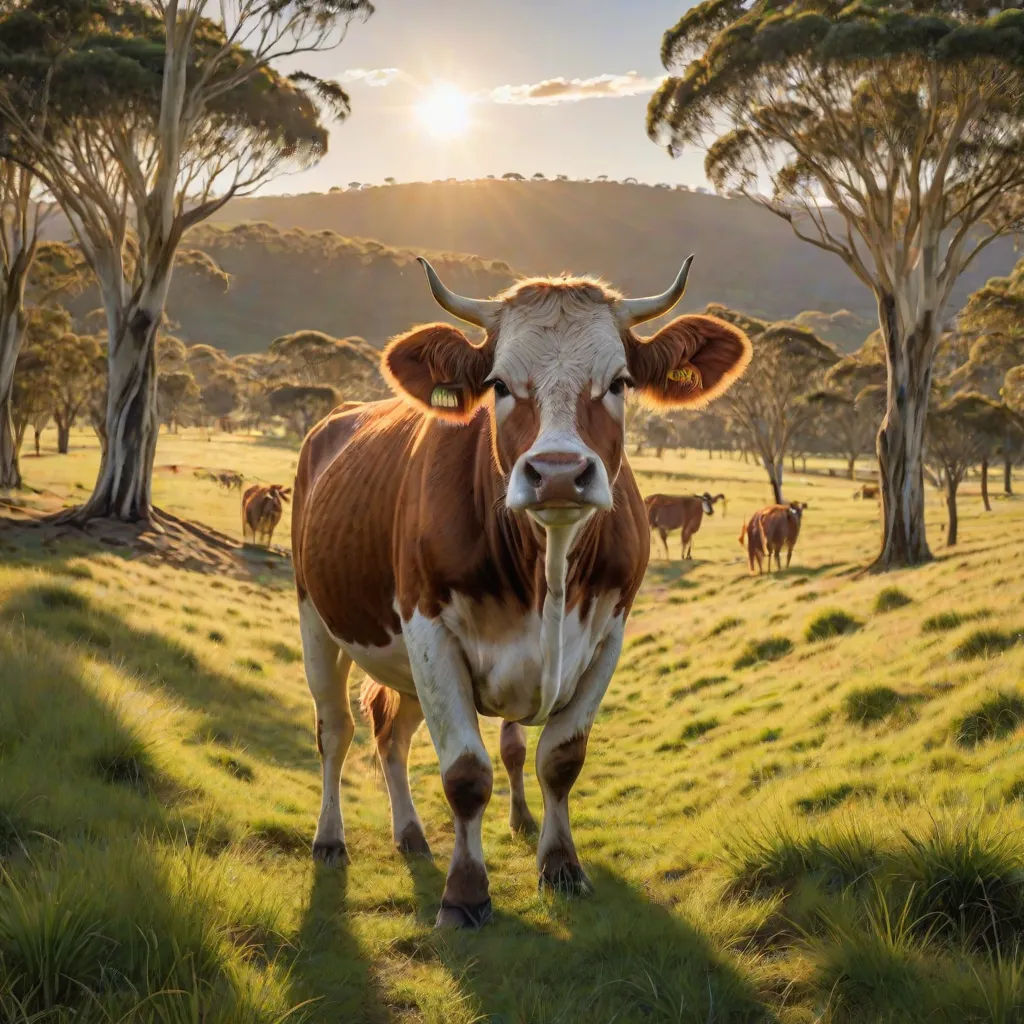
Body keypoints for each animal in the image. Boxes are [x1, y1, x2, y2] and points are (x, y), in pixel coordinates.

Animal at [291, 256, 751, 928]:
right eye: (499, 385)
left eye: (619, 383)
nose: (558, 472)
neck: (547, 577)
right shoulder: (429, 630)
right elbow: (465, 774)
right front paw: (465, 892)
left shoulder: (609, 633)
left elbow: (559, 759)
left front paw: (560, 866)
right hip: (316, 619)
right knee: (335, 731)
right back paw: (330, 839)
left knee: (390, 732)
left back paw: (410, 834)